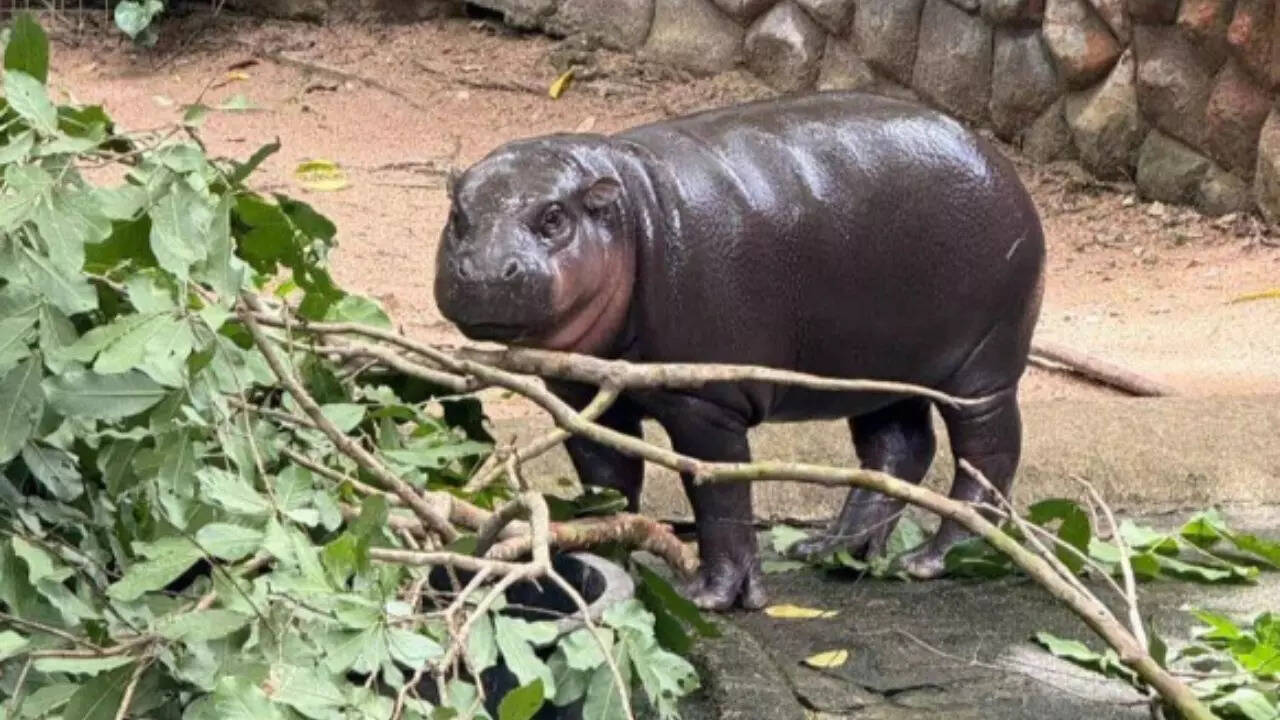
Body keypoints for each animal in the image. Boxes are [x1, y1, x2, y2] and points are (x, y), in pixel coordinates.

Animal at [433, 91, 1045, 611]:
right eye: (458, 216)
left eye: (554, 218)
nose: (484, 270)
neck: (630, 214)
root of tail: (999, 162)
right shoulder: (584, 395)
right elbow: (608, 482)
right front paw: (603, 560)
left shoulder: (706, 404)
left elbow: (720, 495)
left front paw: (713, 597)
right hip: (878, 371)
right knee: (899, 450)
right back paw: (829, 551)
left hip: (981, 369)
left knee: (987, 453)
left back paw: (935, 558)